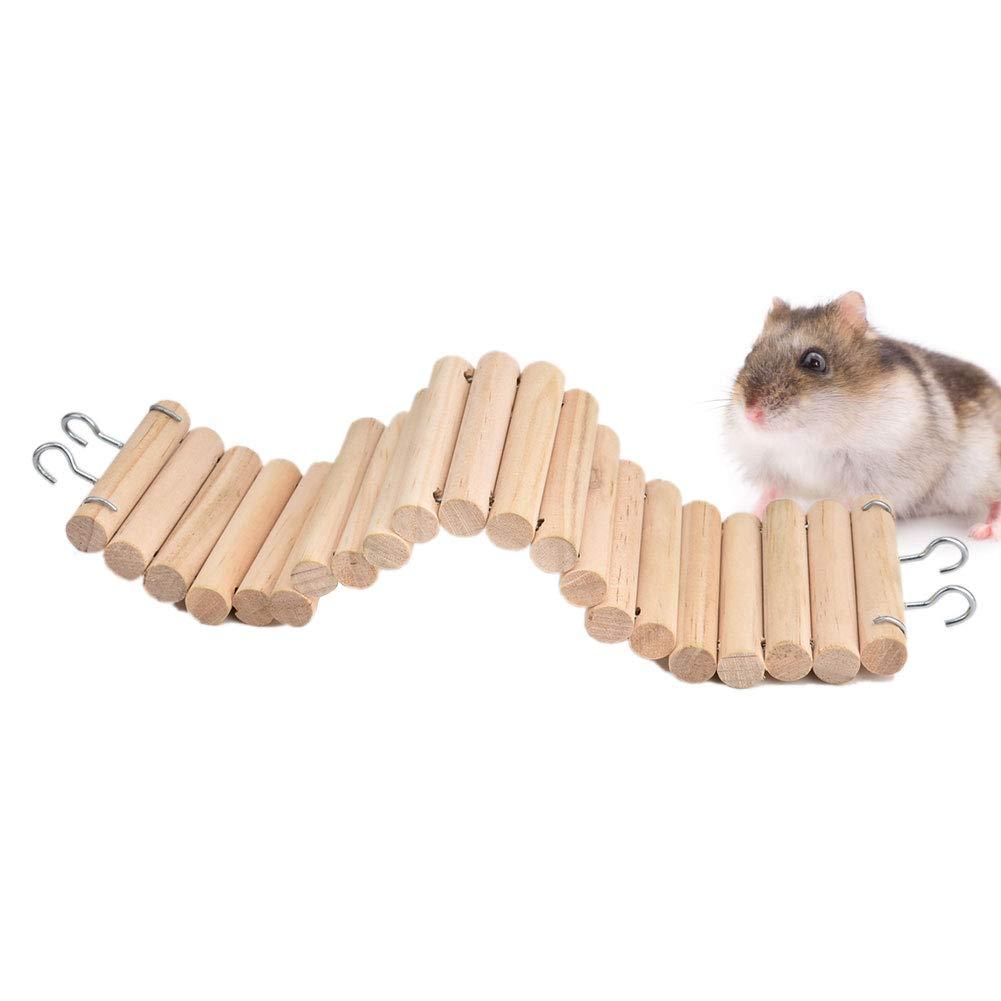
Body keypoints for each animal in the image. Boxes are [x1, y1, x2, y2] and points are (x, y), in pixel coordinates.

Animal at [724, 292, 1001, 540]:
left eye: (814, 361)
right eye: (750, 353)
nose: (751, 414)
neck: (808, 439)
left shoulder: (881, 473)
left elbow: (853, 501)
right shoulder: (773, 467)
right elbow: (771, 491)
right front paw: (753, 513)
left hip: (981, 468)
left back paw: (983, 531)